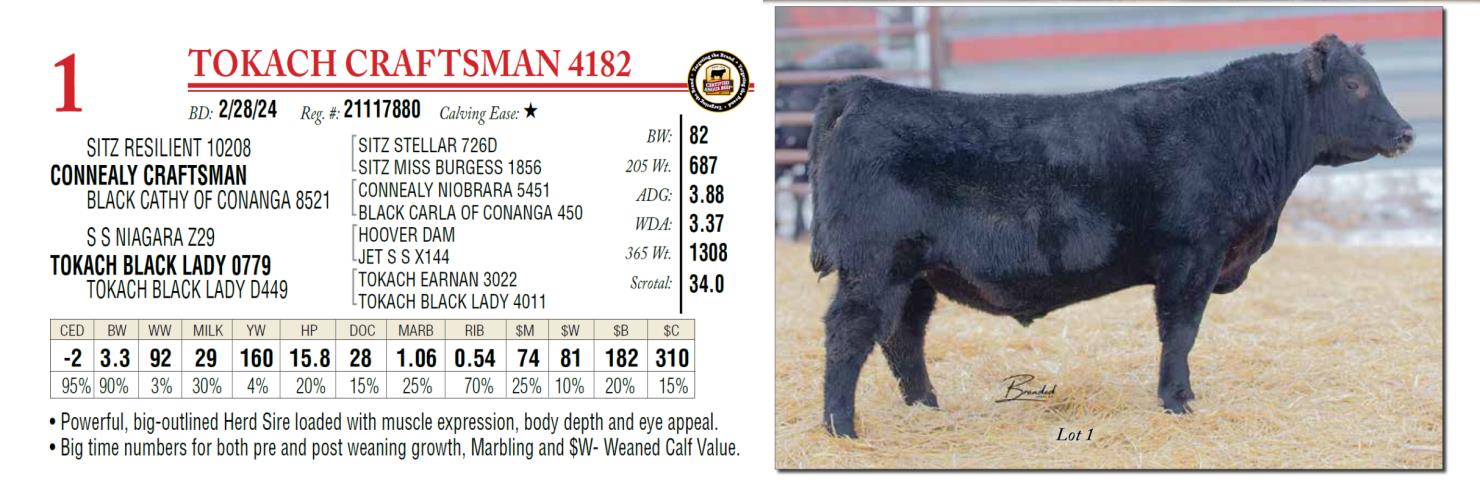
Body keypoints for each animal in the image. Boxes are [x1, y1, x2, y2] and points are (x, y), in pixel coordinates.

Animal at [806, 34, 1413, 438]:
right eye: (1354, 84)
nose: (1406, 132)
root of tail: (862, 90)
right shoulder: (1192, 256)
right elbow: (1180, 333)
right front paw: (1177, 402)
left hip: (915, 275)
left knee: (902, 337)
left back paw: (926, 408)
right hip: (874, 265)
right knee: (848, 335)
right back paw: (842, 428)